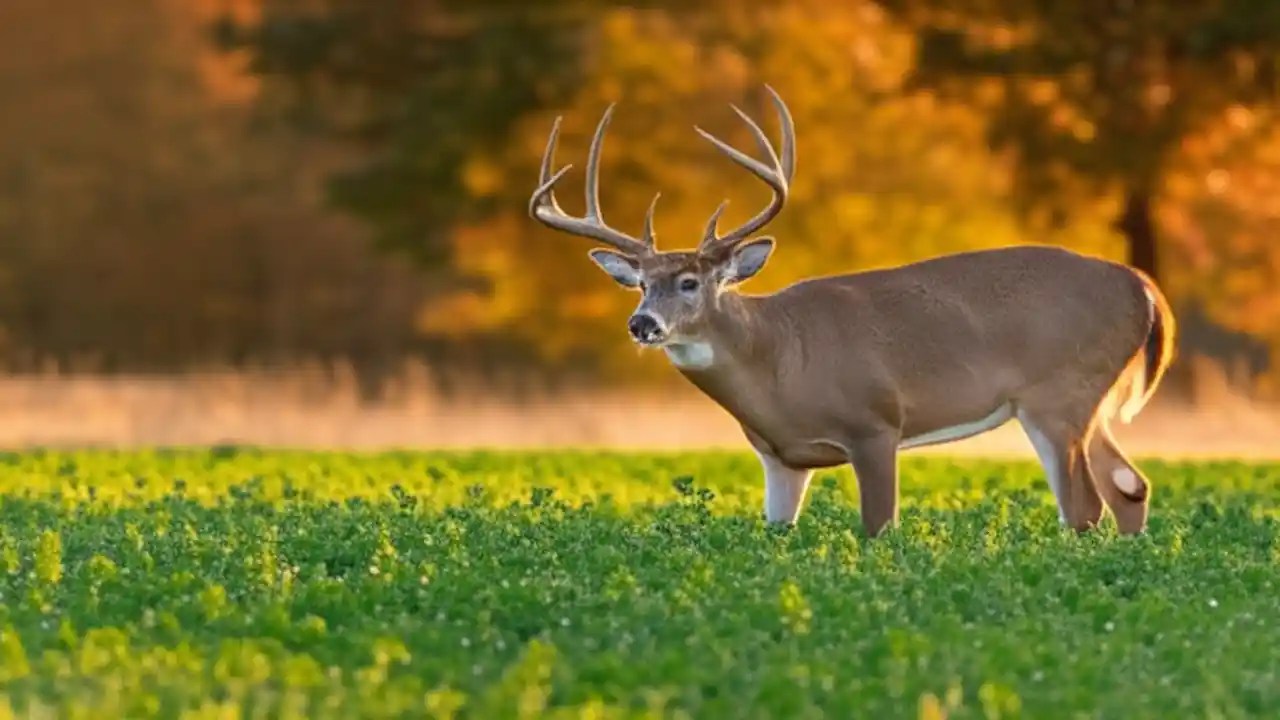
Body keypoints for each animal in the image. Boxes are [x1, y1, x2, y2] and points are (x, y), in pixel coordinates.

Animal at [527, 86, 1177, 538]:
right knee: (1130, 488)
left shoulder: (875, 422)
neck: (778, 358)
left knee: (1086, 506)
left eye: (689, 281)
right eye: (639, 284)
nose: (642, 324)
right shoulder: (779, 458)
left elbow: (877, 528)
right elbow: (776, 533)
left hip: (1057, 393)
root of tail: (1143, 286)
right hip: (1082, 399)